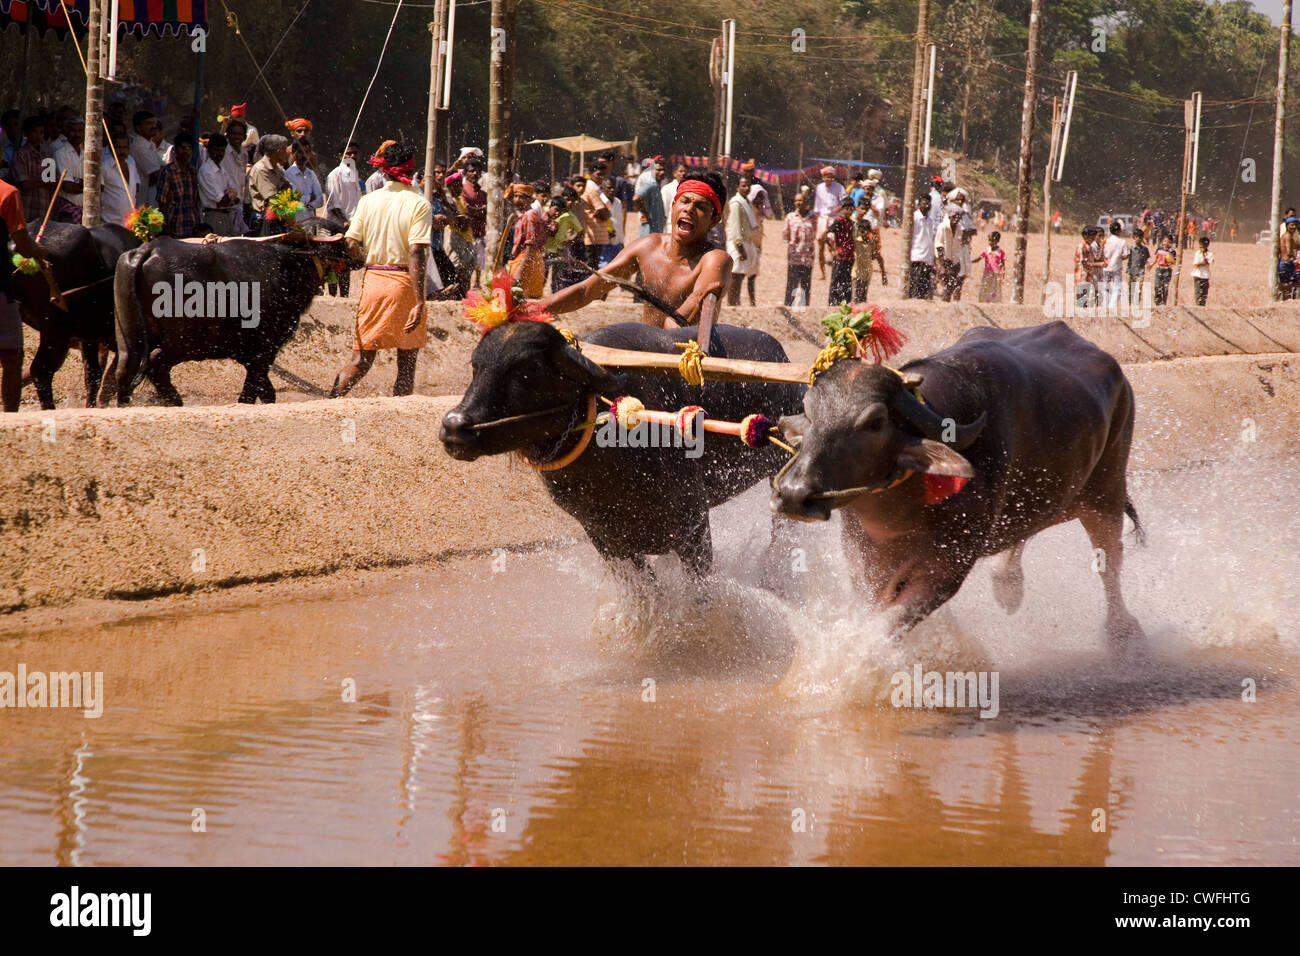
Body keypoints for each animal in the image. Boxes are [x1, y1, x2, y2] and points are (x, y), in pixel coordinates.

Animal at [113, 219, 348, 405]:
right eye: (340, 240)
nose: (354, 248)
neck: (290, 263)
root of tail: (148, 250)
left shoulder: (246, 352)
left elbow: (266, 390)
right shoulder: (266, 347)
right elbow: (252, 389)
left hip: (129, 340)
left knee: (124, 371)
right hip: (185, 341)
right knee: (155, 364)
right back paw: (175, 401)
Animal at [771, 322, 1145, 645]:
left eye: (875, 423)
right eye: (808, 411)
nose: (794, 494)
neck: (901, 512)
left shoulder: (949, 566)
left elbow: (887, 624)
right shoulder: (864, 559)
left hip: (1106, 491)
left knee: (1110, 559)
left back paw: (1123, 630)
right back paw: (1007, 584)